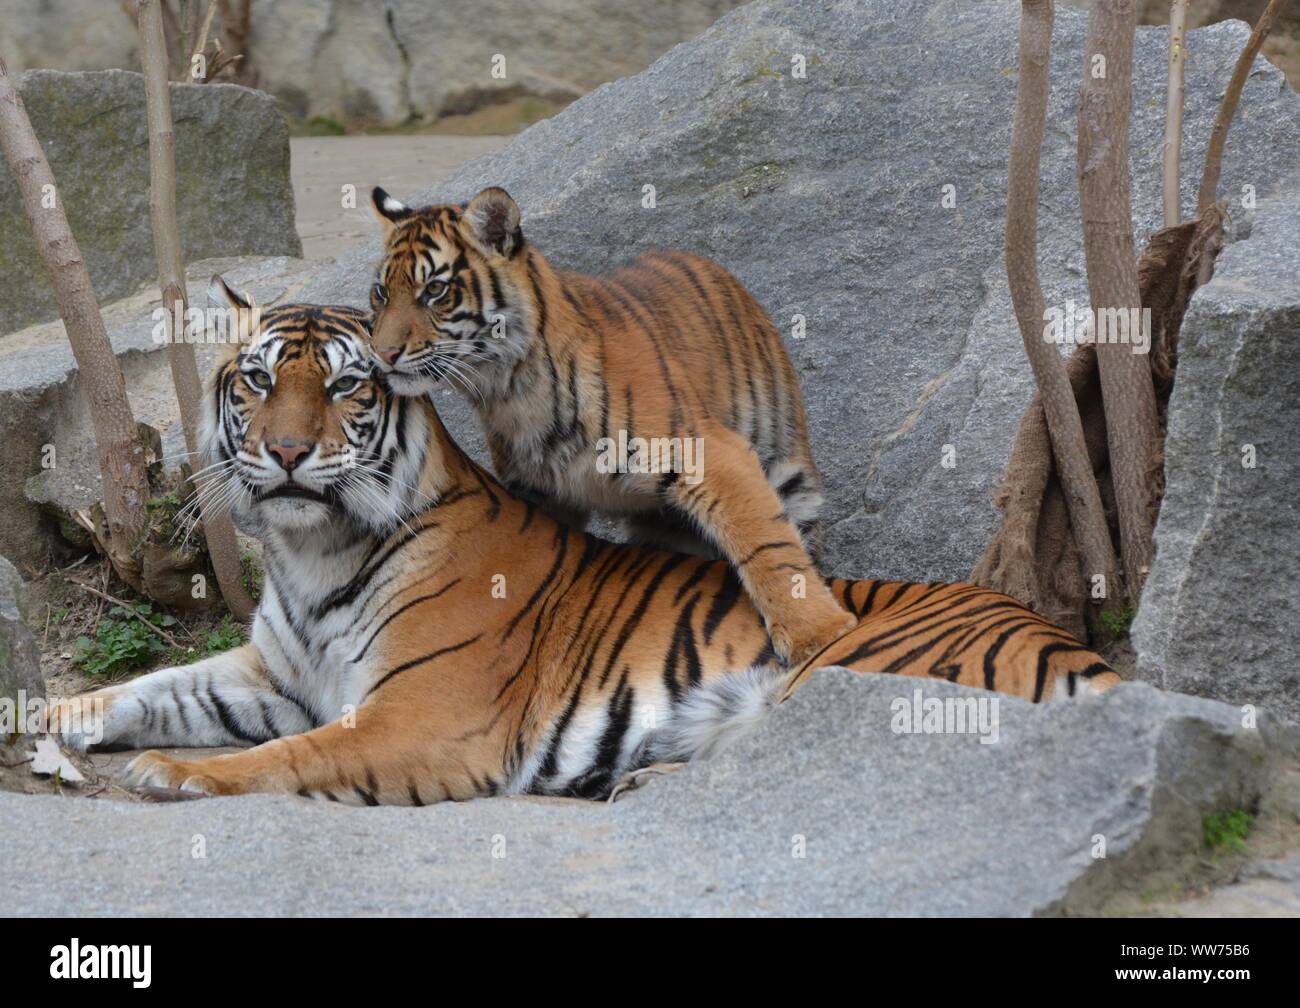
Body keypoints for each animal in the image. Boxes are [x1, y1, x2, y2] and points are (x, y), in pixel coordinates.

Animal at [43, 292, 1119, 804]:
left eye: (347, 387)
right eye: (258, 381)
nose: (288, 452)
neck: (314, 553)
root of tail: (1059, 635)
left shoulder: (419, 718)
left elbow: (294, 754)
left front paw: (179, 774)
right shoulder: (273, 672)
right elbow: (149, 687)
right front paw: (49, 713)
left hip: (839, 666)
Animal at [365, 184, 857, 667]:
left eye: (435, 290)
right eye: (381, 293)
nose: (382, 354)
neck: (507, 389)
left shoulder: (709, 453)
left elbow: (767, 545)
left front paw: (817, 634)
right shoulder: (539, 492)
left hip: (790, 471)